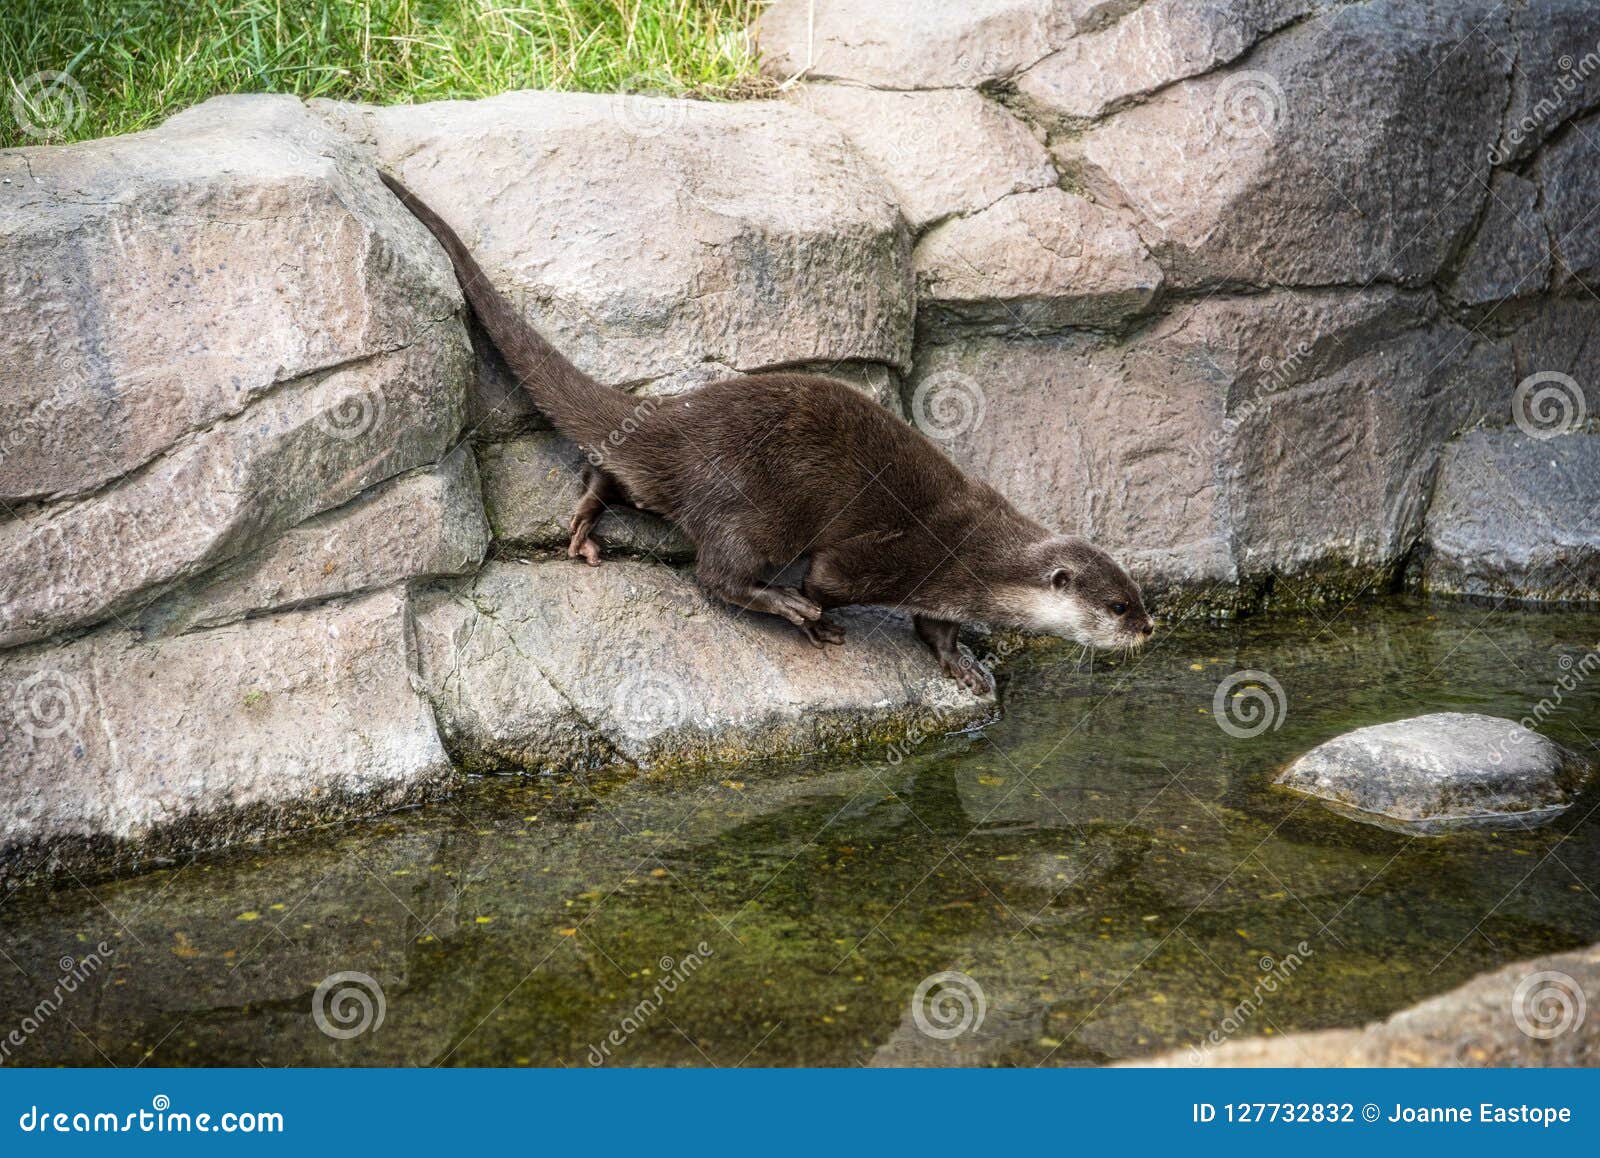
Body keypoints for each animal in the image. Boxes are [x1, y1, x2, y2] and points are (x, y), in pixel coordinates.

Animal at [380, 173, 1153, 694]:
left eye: (1139, 596)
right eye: (1118, 605)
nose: (1149, 629)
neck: (984, 558)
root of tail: (676, 417)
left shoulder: (943, 593)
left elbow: (936, 629)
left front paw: (959, 664)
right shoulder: (892, 557)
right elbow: (828, 582)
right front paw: (815, 616)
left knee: (619, 476)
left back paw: (585, 524)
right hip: (754, 507)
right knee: (716, 574)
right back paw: (780, 603)